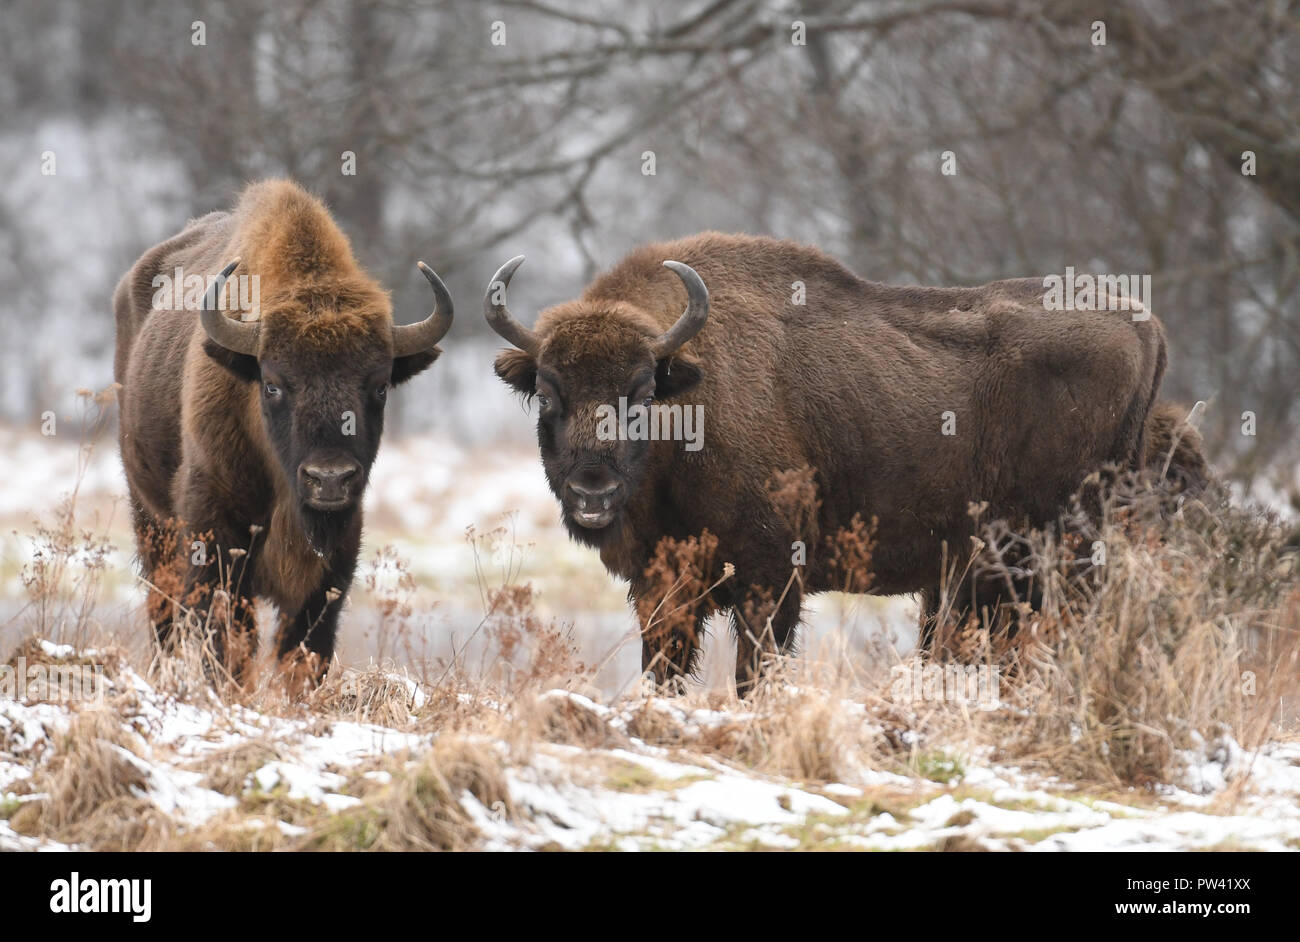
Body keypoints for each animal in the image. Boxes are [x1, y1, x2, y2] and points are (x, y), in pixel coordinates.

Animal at [114, 179, 451, 685]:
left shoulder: (335, 562)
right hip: (149, 518)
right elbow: (228, 636)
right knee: (164, 614)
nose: (329, 479)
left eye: (379, 386)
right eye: (272, 384)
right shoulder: (215, 538)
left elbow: (307, 647)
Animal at [483, 232, 1202, 692]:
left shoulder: (771, 578)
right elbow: (664, 672)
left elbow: (755, 673)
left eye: (640, 394)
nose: (592, 488)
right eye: (549, 393)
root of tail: (1144, 324)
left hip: (1062, 553)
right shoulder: (663, 590)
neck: (693, 388)